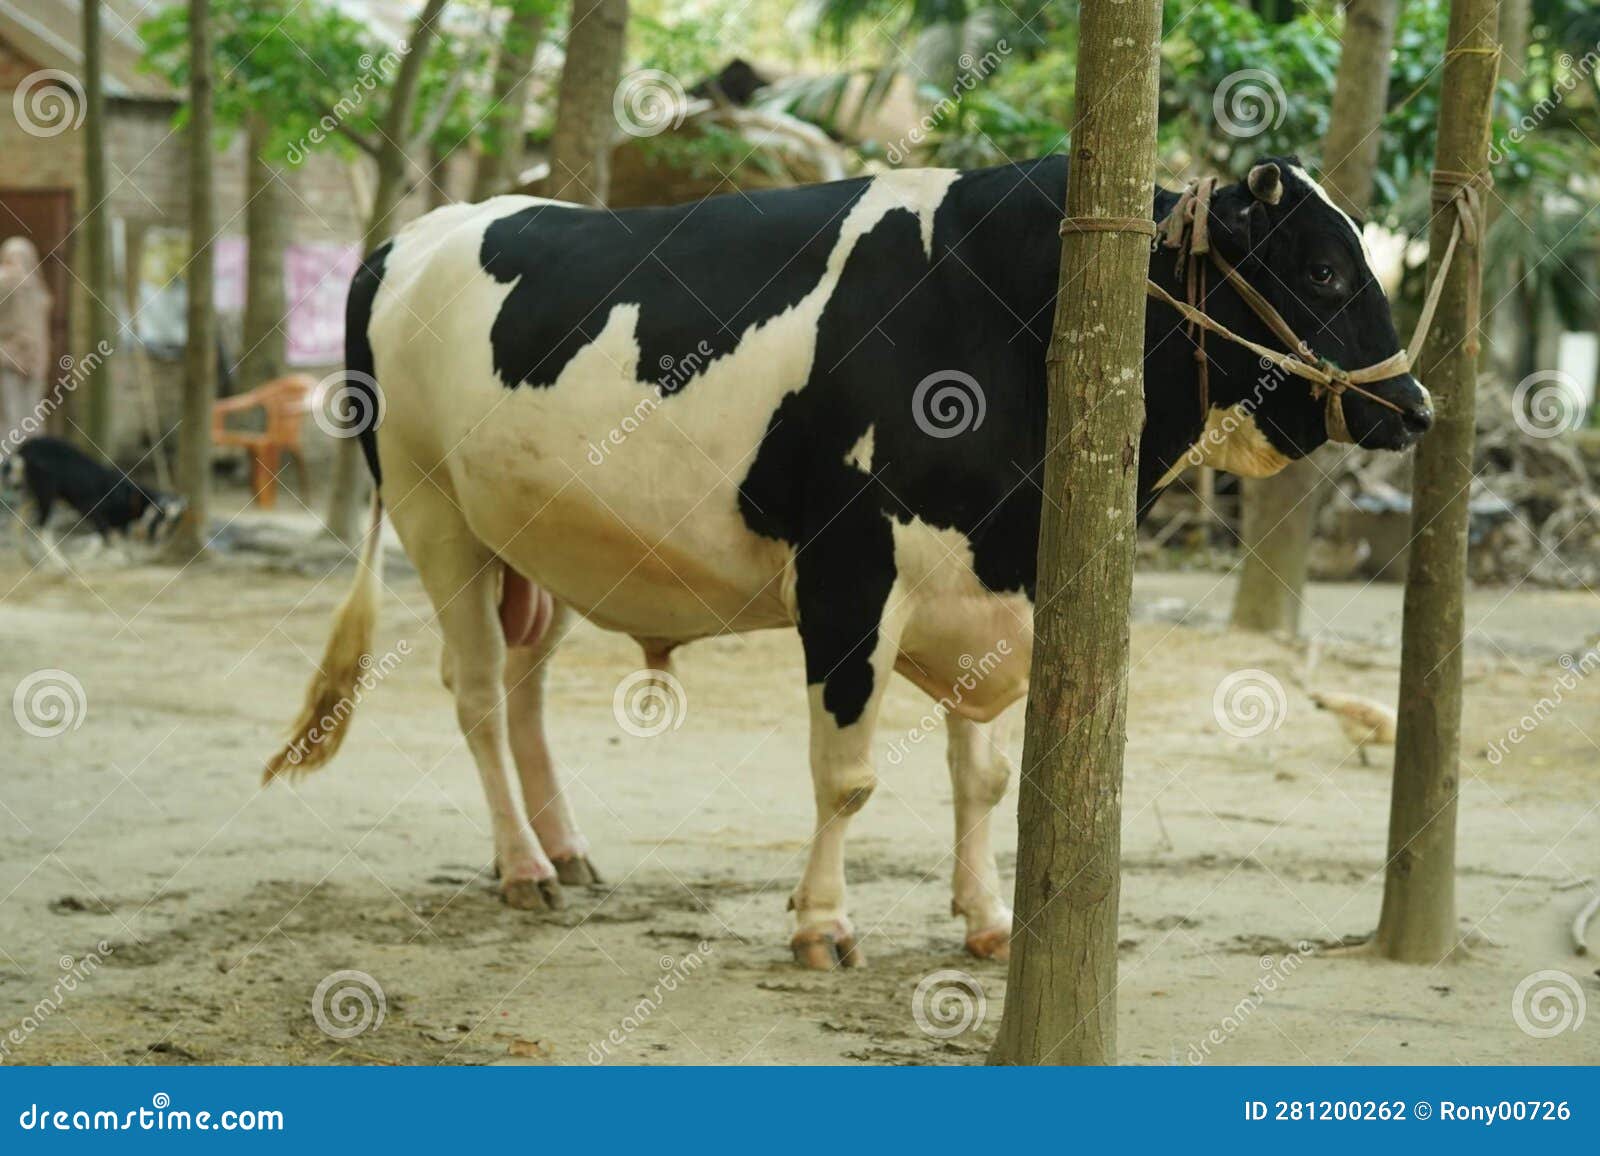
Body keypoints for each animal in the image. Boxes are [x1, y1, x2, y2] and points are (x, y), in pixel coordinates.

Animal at [266, 155, 1432, 970]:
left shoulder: (997, 581)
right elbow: (849, 777)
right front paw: (822, 924)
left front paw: (989, 918)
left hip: (536, 541)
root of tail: (412, 237)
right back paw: (520, 867)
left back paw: (566, 850)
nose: (1415, 407)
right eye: (1323, 266)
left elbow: (983, 776)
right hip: (434, 512)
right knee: (471, 692)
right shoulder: (849, 575)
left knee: (520, 687)